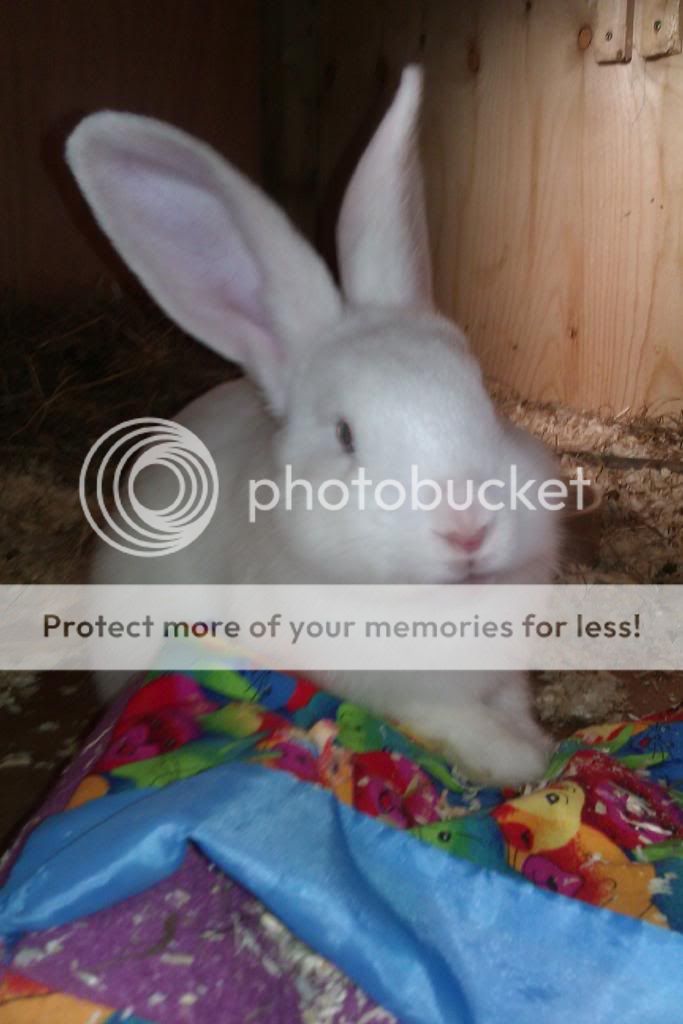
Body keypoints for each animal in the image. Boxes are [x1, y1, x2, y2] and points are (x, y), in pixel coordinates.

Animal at [66, 65, 560, 785]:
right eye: (345, 436)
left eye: (483, 400)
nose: (467, 531)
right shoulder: (392, 688)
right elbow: (450, 717)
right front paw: (517, 759)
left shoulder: (506, 670)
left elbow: (511, 700)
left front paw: (536, 744)